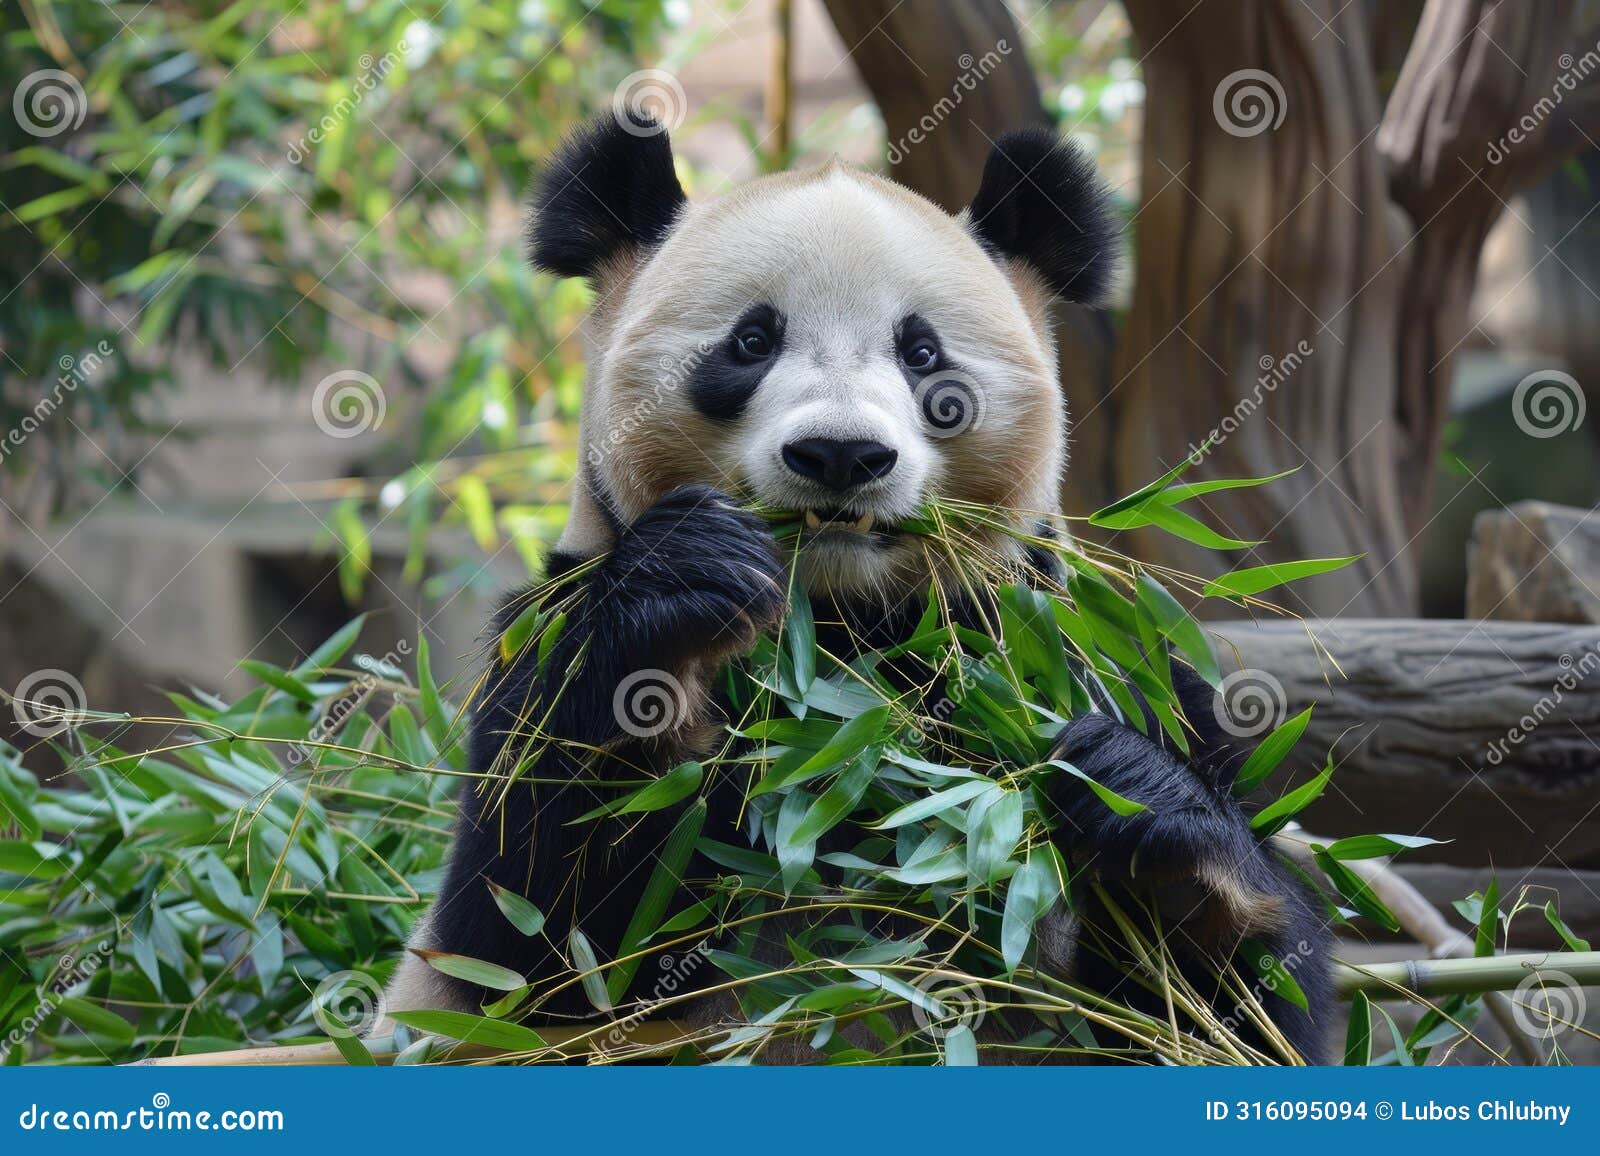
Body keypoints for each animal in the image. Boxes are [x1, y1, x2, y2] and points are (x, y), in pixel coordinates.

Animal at [384, 111, 1332, 1063]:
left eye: (922, 354)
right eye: (751, 341)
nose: (840, 455)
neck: (843, 639)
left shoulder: (1094, 652)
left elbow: (1249, 1008)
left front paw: (1144, 814)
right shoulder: (546, 629)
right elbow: (527, 943)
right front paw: (688, 579)